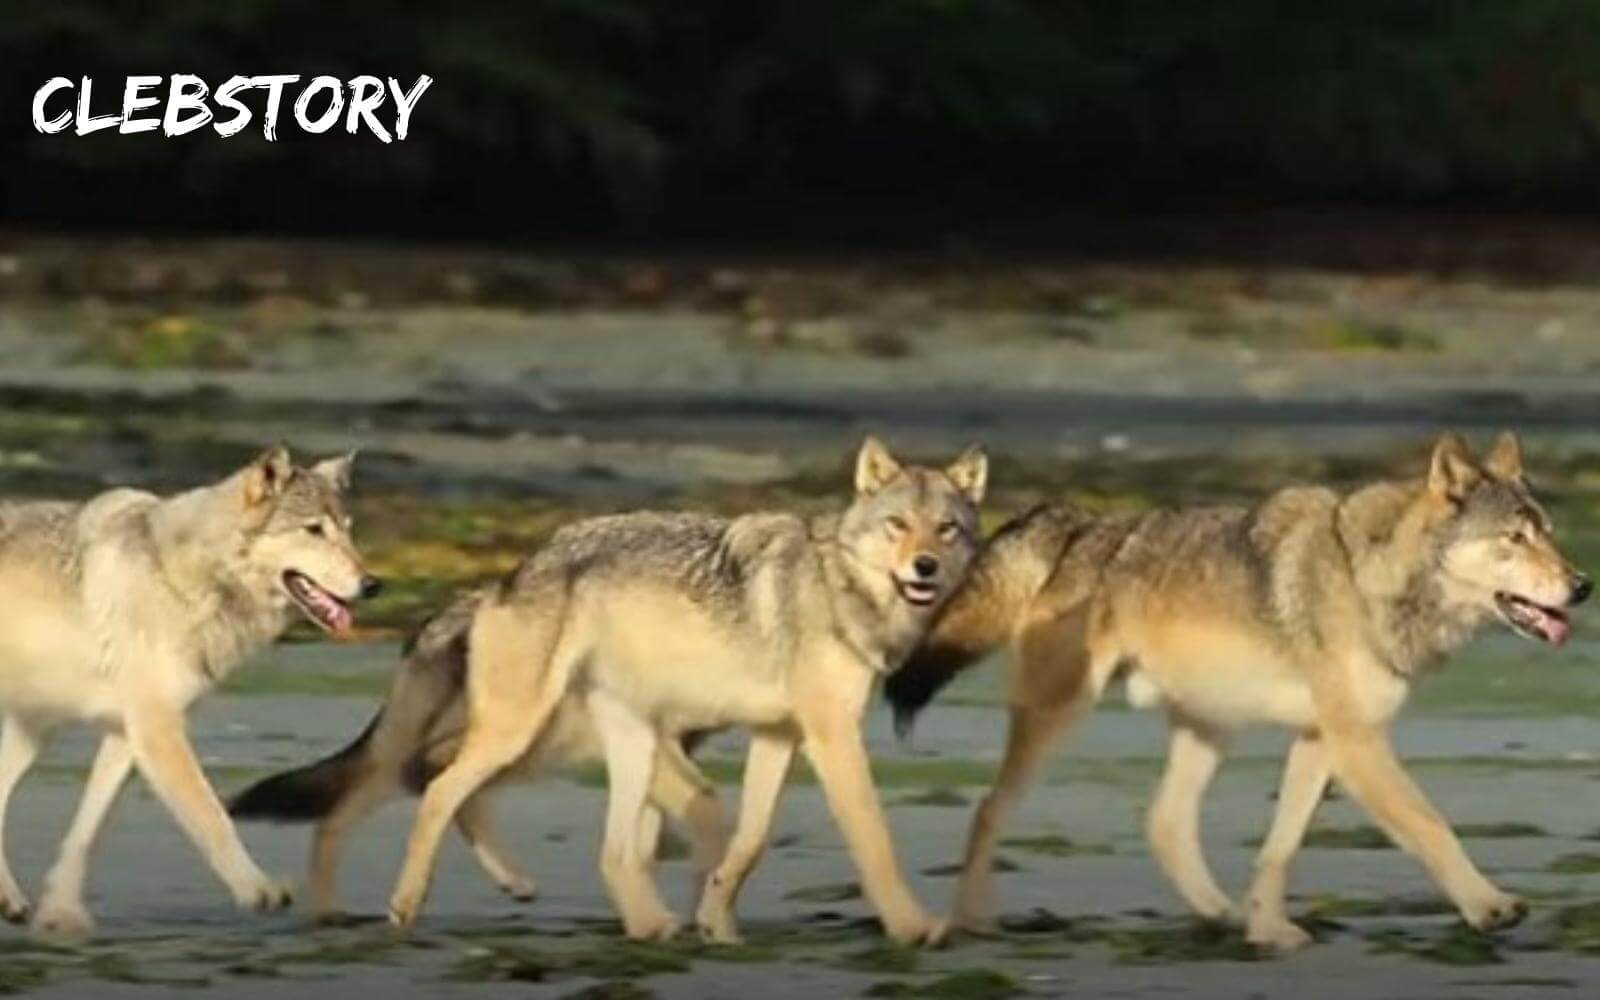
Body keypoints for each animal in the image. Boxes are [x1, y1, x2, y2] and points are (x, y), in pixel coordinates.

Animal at [0, 446, 379, 936]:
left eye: (348, 530)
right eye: (314, 530)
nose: (374, 585)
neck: (189, 578)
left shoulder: (129, 735)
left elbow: (86, 831)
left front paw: (62, 912)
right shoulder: (158, 731)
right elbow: (213, 818)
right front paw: (257, 890)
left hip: (34, 730)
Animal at [227, 588, 728, 922]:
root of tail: (441, 620)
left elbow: (653, 827)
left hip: (506, 747)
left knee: (412, 796)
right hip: (514, 742)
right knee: (407, 794)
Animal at [381, 437, 987, 945]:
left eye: (946, 528)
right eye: (898, 524)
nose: (926, 567)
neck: (840, 587)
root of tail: (502, 579)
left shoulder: (777, 737)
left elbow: (748, 843)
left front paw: (718, 924)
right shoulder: (832, 736)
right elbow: (874, 838)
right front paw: (912, 927)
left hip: (619, 746)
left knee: (609, 854)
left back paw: (646, 924)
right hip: (524, 734)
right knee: (439, 789)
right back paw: (406, 905)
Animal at [885, 432, 1589, 951]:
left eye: (1549, 531)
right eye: (1515, 538)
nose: (1583, 587)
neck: (1375, 579)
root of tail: (1078, 522)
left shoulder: (1322, 741)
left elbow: (1281, 846)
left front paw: (1267, 928)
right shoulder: (1359, 743)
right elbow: (1430, 824)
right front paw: (1488, 906)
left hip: (1207, 730)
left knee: (1163, 823)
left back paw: (1220, 914)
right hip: (1058, 717)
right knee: (988, 810)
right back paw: (972, 921)